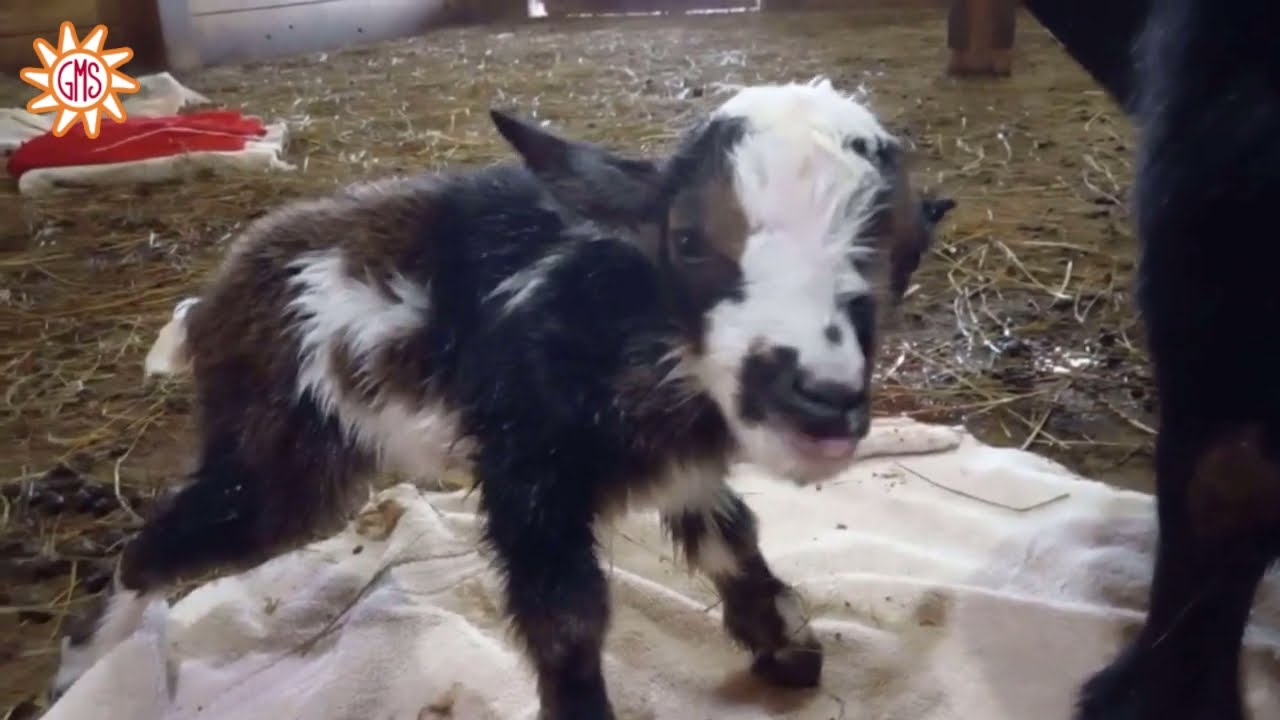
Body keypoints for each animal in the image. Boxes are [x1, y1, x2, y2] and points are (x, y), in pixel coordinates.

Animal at [52, 79, 952, 719]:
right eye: (689, 239)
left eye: (906, 249)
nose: (820, 403)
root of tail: (207, 305)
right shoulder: (526, 475)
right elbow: (567, 622)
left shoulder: (682, 468)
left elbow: (731, 541)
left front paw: (787, 650)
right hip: (281, 459)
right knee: (153, 550)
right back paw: (91, 670)